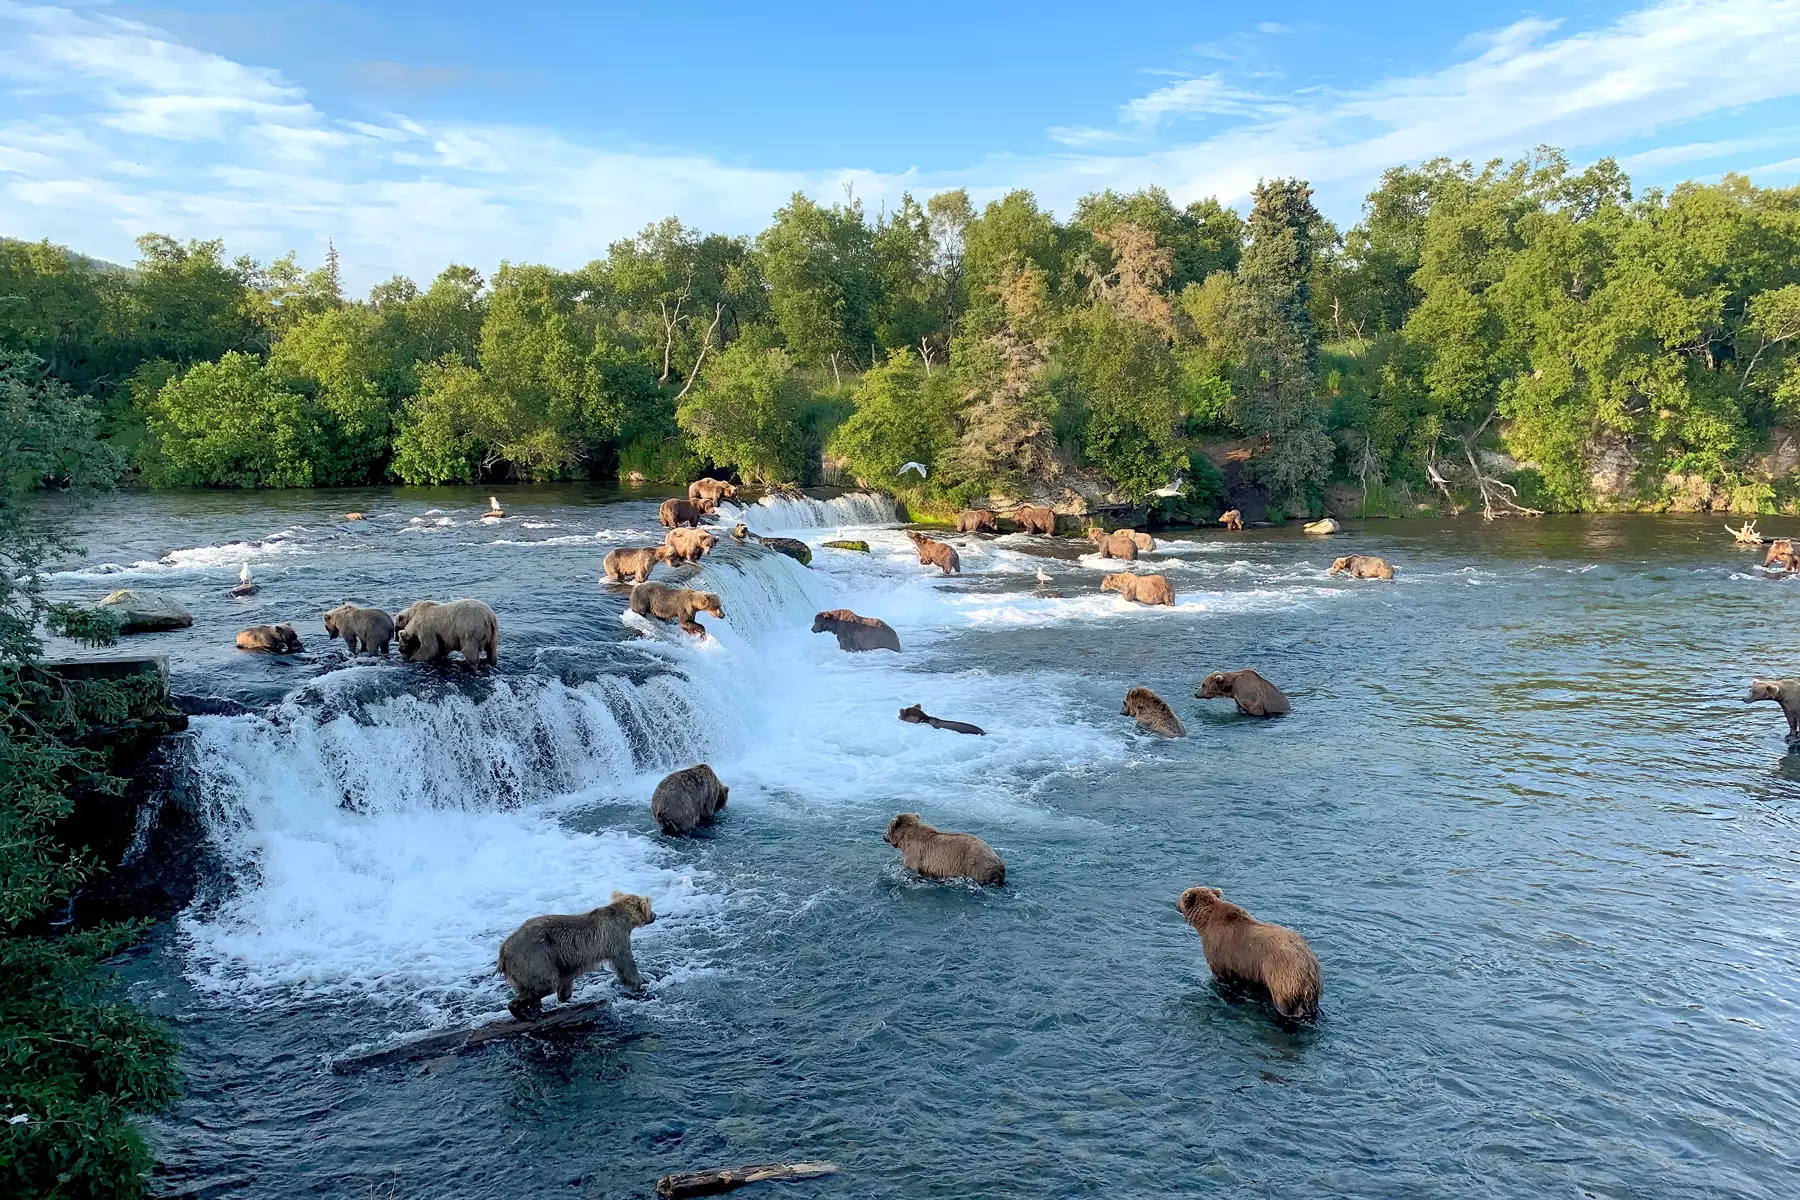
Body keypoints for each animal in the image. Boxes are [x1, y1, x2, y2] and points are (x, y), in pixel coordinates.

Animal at [496, 892, 658, 1021]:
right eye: (650, 907)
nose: (655, 915)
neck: (624, 920)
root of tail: (503, 950)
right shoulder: (616, 938)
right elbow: (626, 964)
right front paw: (641, 981)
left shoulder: (565, 960)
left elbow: (566, 978)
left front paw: (566, 997)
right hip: (535, 957)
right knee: (543, 985)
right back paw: (525, 1014)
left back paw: (535, 1011)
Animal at [1180, 881, 1324, 1021]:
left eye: (1181, 897)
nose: (1176, 904)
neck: (1205, 921)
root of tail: (1309, 966)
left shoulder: (1218, 950)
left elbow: (1221, 975)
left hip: (1283, 976)